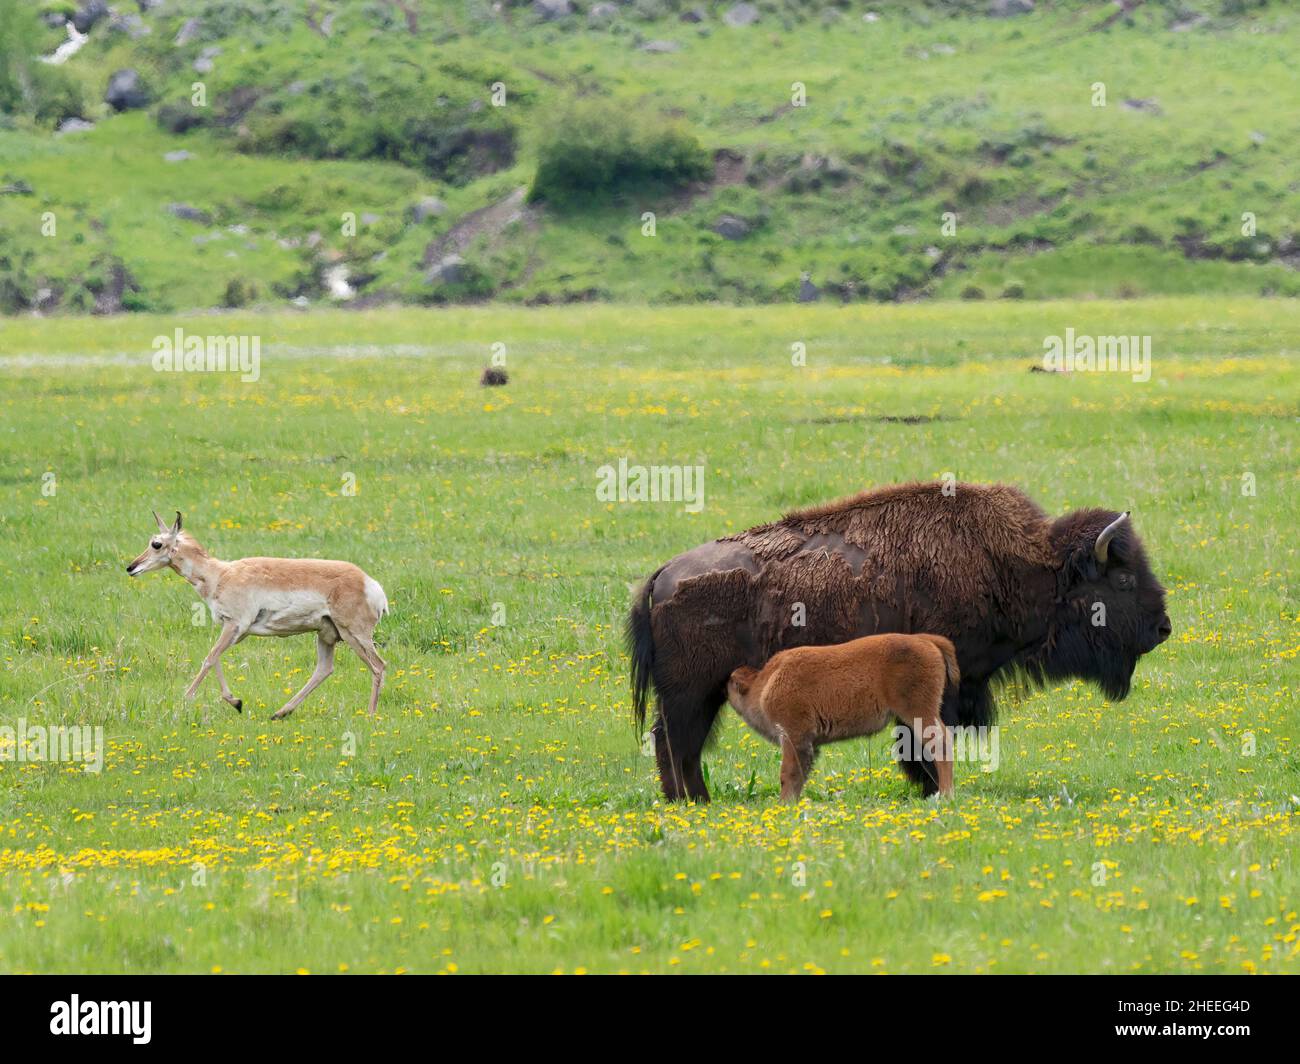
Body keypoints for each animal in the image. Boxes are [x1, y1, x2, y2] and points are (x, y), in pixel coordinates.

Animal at [627, 481, 1171, 802]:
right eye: (1123, 580)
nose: (1163, 628)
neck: (1023, 567)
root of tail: (663, 576)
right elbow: (920, 742)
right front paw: (928, 789)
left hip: (701, 694)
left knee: (676, 741)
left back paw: (691, 800)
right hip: (692, 693)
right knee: (678, 740)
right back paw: (691, 799)